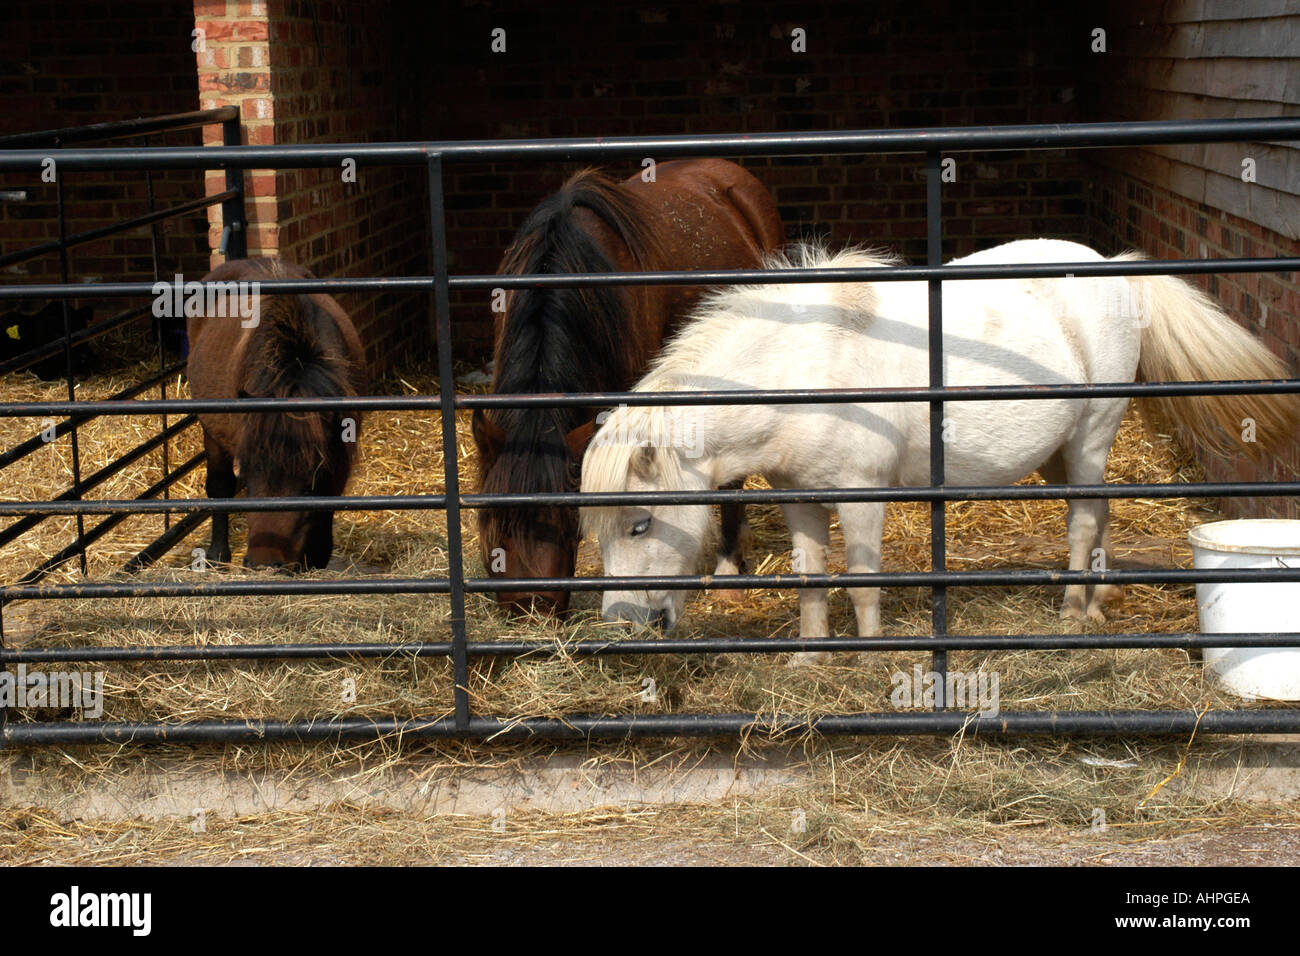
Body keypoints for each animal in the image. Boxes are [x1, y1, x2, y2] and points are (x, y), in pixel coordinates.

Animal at [186, 257, 366, 571]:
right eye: (250, 483)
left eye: (308, 488)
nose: (263, 563)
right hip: (212, 431)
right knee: (220, 485)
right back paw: (218, 554)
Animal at [581, 239, 1299, 664]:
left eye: (639, 524)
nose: (622, 624)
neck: (805, 364)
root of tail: (1115, 270)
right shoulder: (799, 497)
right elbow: (813, 579)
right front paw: (810, 658)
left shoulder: (860, 495)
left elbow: (862, 580)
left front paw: (869, 655)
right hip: (1060, 452)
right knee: (1099, 519)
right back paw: (1094, 604)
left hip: (1092, 438)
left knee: (1082, 521)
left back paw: (1073, 612)